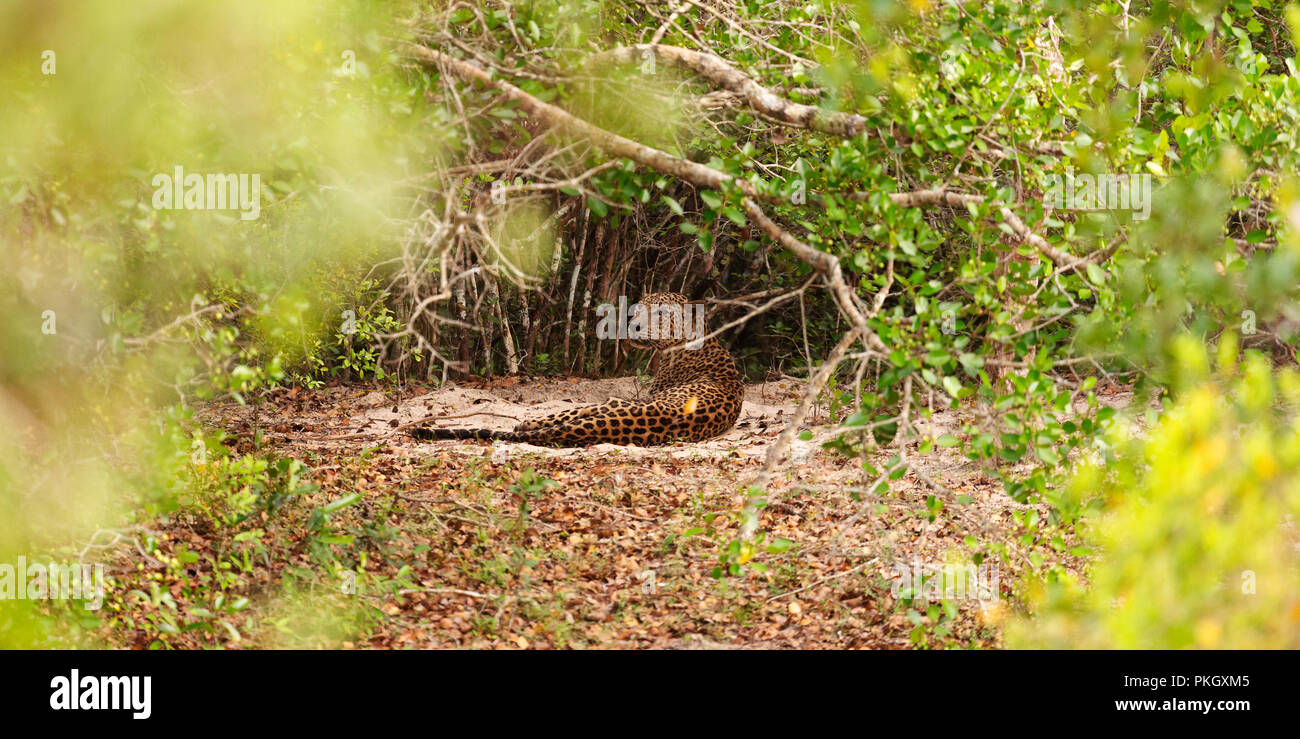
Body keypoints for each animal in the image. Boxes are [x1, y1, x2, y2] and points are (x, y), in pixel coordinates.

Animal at [412, 292, 744, 446]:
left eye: (660, 314)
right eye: (638, 308)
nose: (633, 326)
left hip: (605, 403)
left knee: (552, 418)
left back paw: (526, 423)